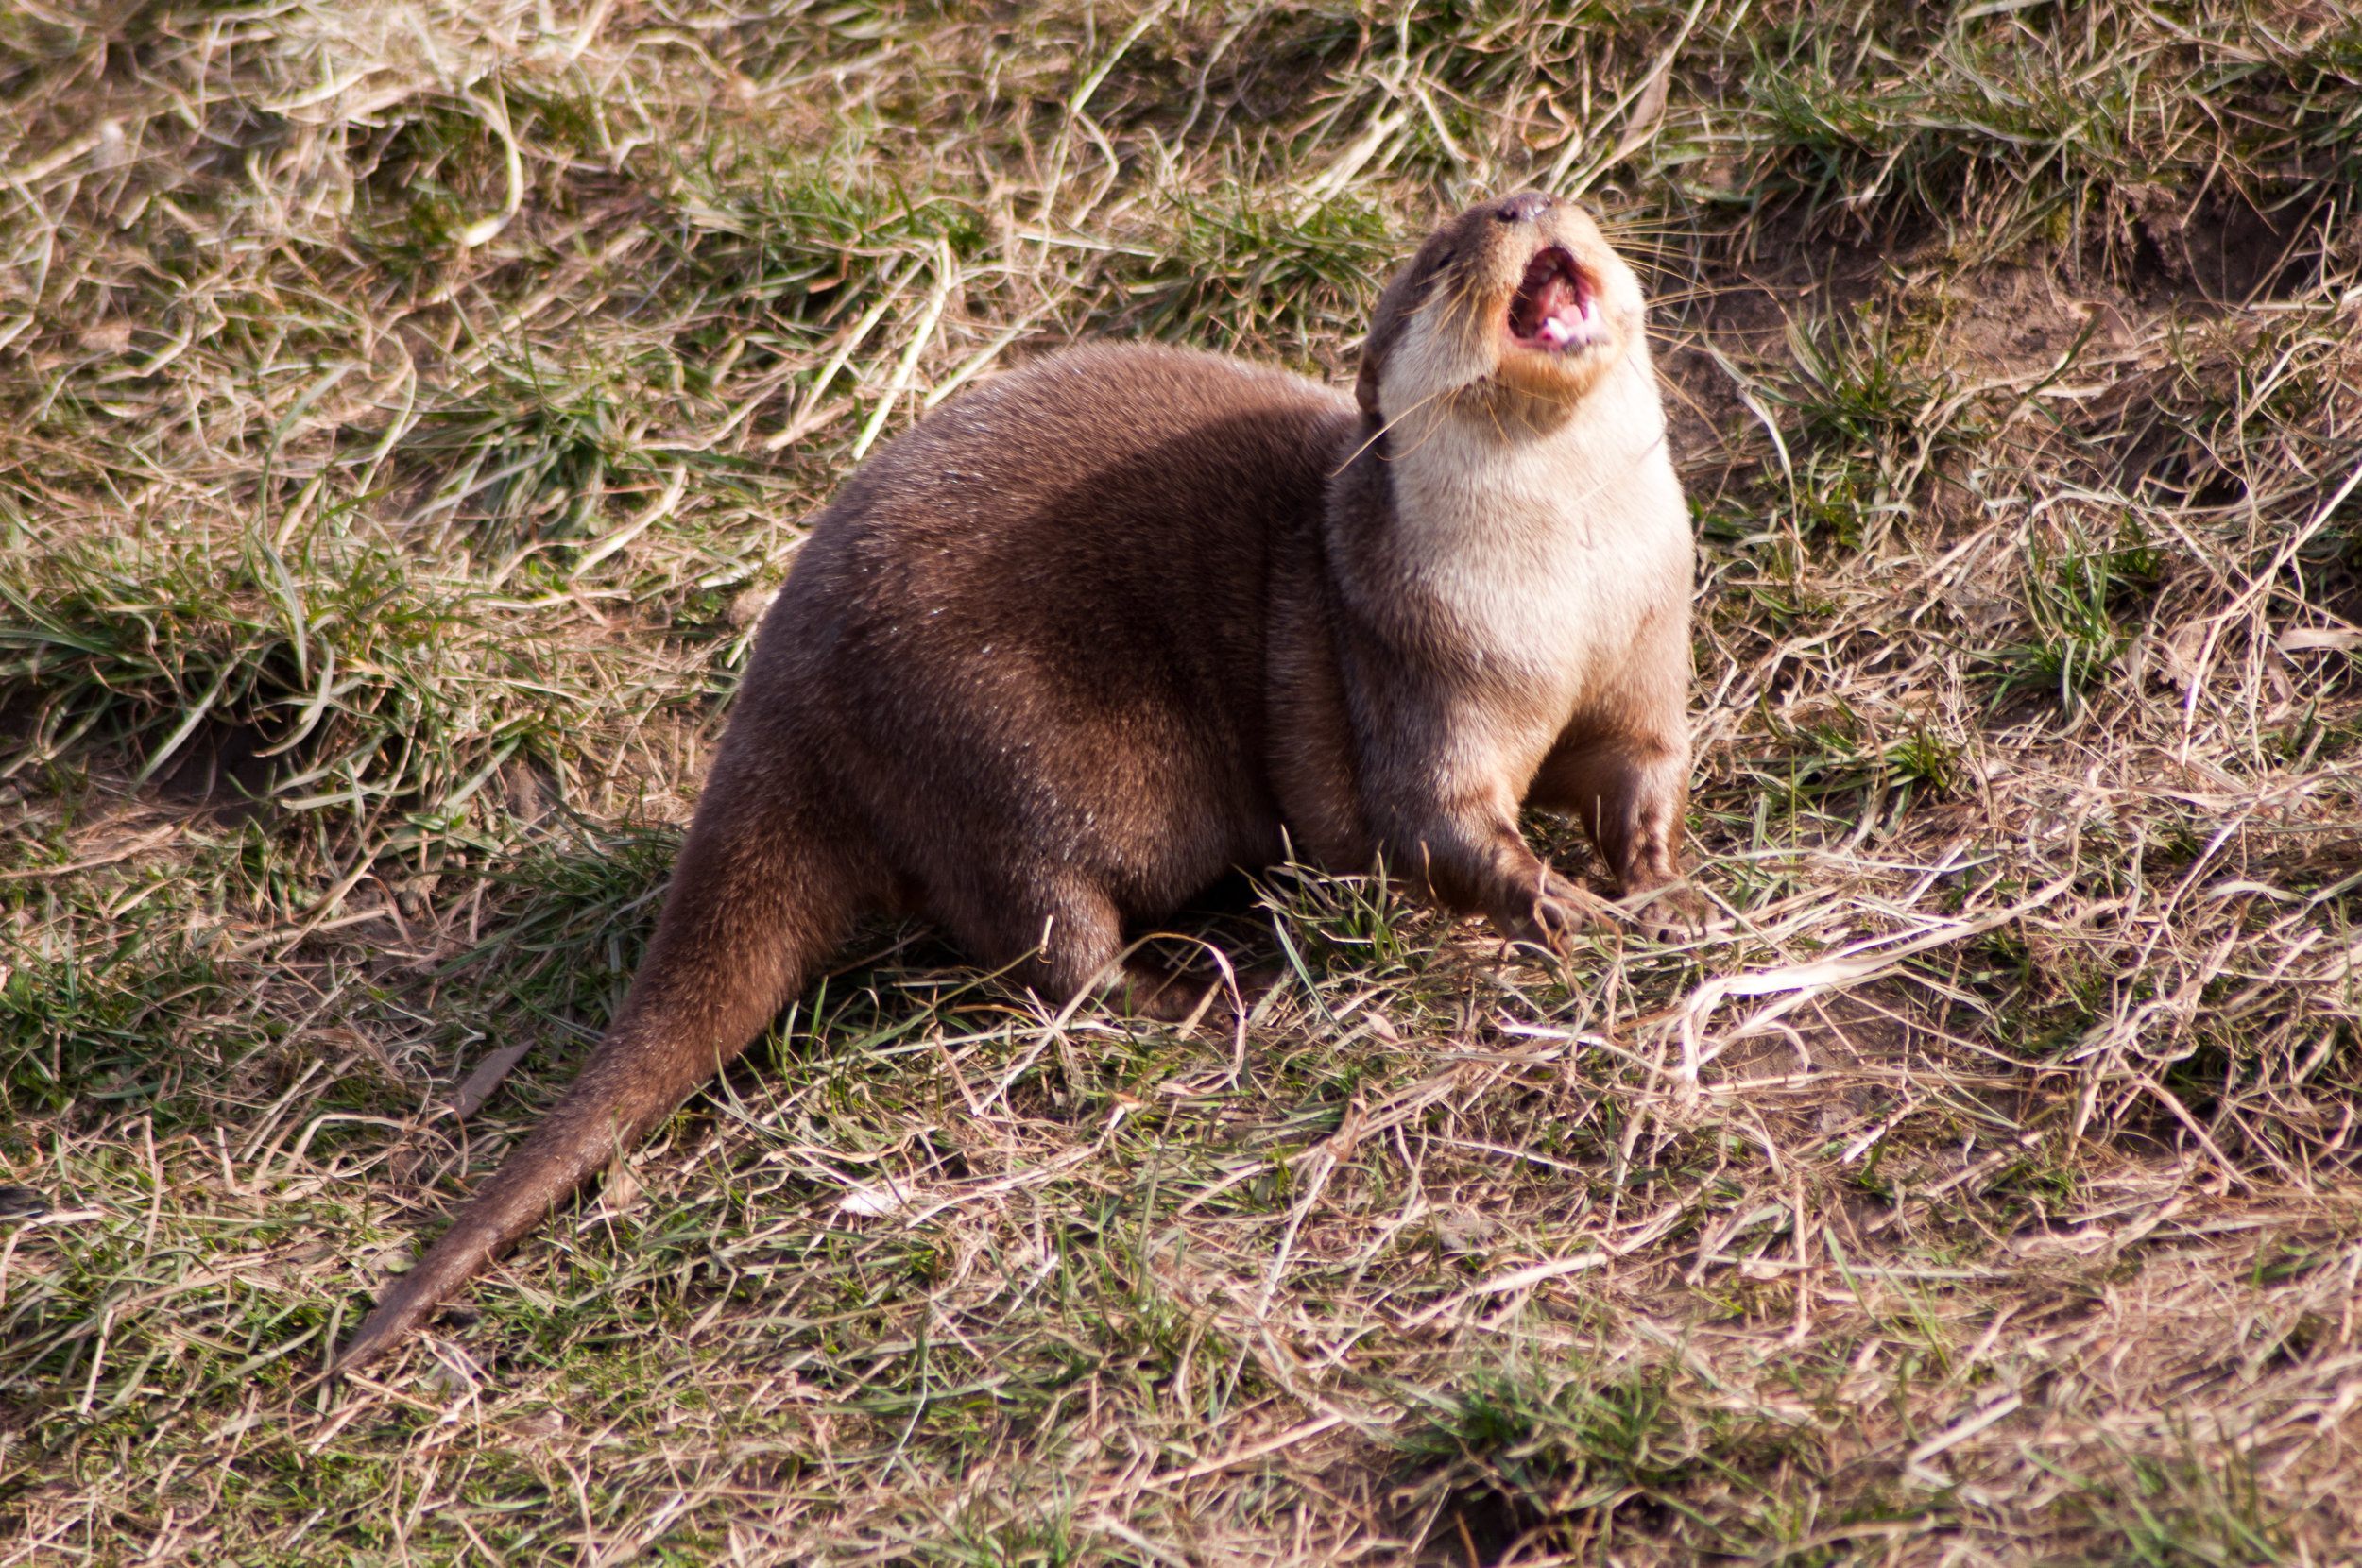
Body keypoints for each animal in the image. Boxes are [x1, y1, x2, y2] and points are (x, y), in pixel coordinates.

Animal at [337, 191, 1699, 1370]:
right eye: (1436, 258)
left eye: (1547, 192)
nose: (1520, 202)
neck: (1564, 595)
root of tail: (779, 701)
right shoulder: (1416, 680)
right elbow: (1436, 831)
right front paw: (1559, 907)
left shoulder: (1644, 657)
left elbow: (1642, 772)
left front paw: (1659, 879)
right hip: (1000, 764)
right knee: (1051, 953)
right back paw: (1204, 998)